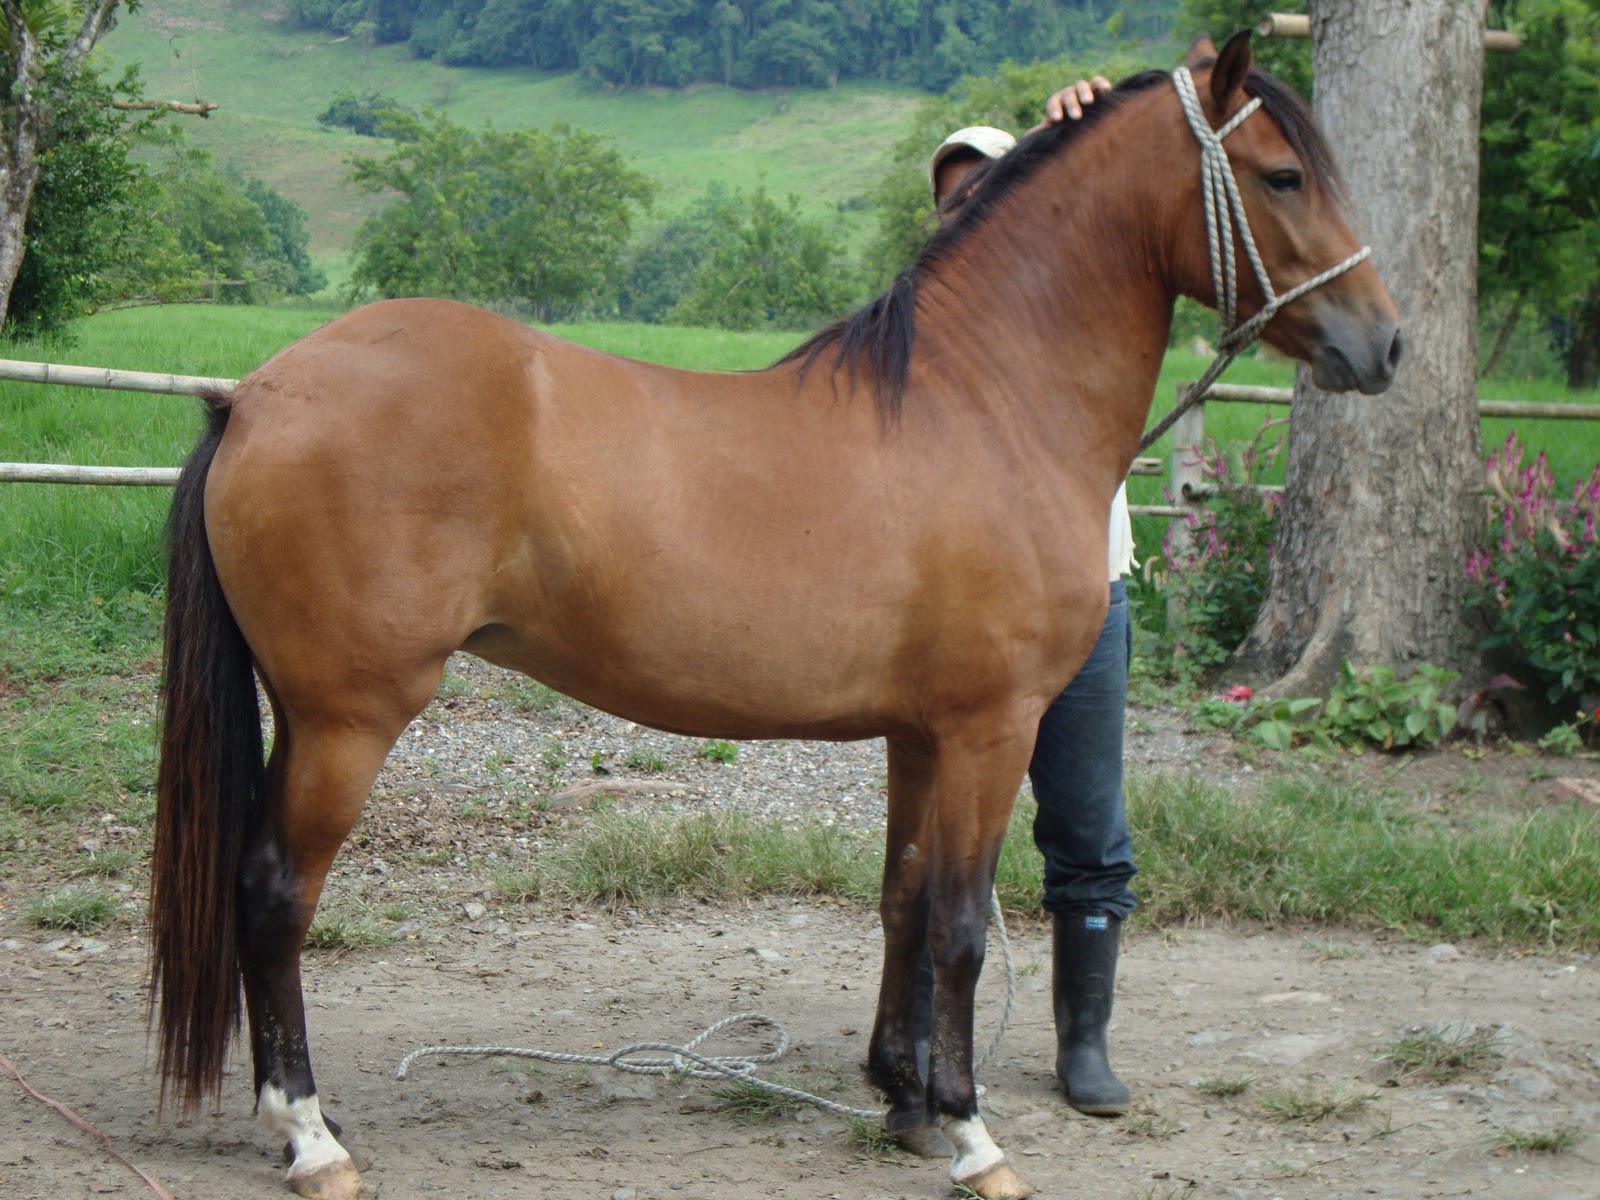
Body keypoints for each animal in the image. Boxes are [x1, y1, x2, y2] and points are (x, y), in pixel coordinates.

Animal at [149, 32, 1399, 1200]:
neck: (984, 405)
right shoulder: (991, 729)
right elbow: (960, 925)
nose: (1383, 343)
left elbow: (903, 902)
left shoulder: (919, 736)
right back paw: (311, 1137)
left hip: (305, 716)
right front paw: (969, 1133)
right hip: (346, 720)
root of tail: (258, 394)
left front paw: (902, 1100)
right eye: (1283, 174)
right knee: (275, 894)